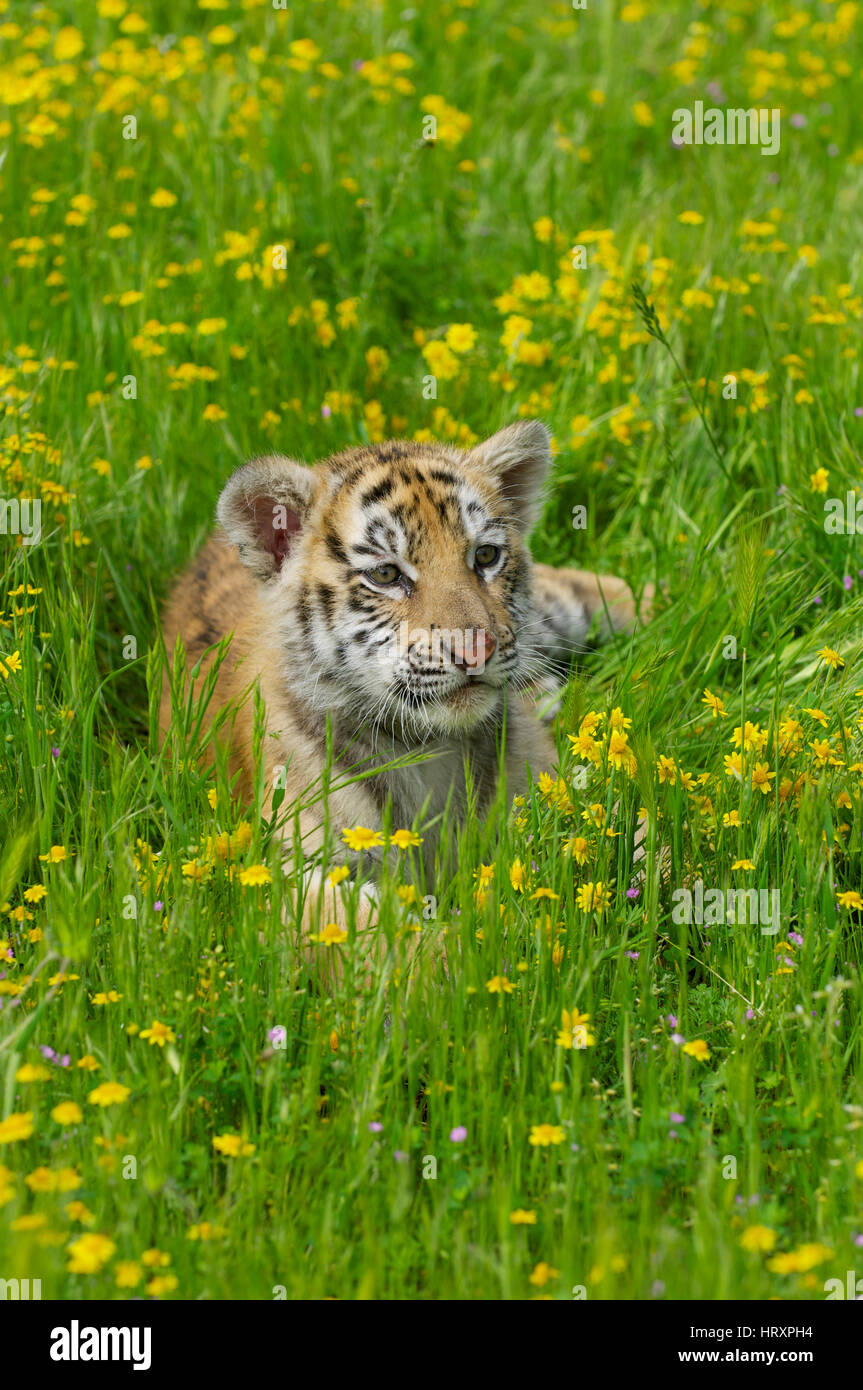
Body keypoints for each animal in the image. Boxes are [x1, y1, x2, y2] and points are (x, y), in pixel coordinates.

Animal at [159, 419, 648, 968]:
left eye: (485, 555)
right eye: (387, 574)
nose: (477, 649)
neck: (427, 744)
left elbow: (618, 834)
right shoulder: (290, 871)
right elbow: (389, 942)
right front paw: (484, 964)